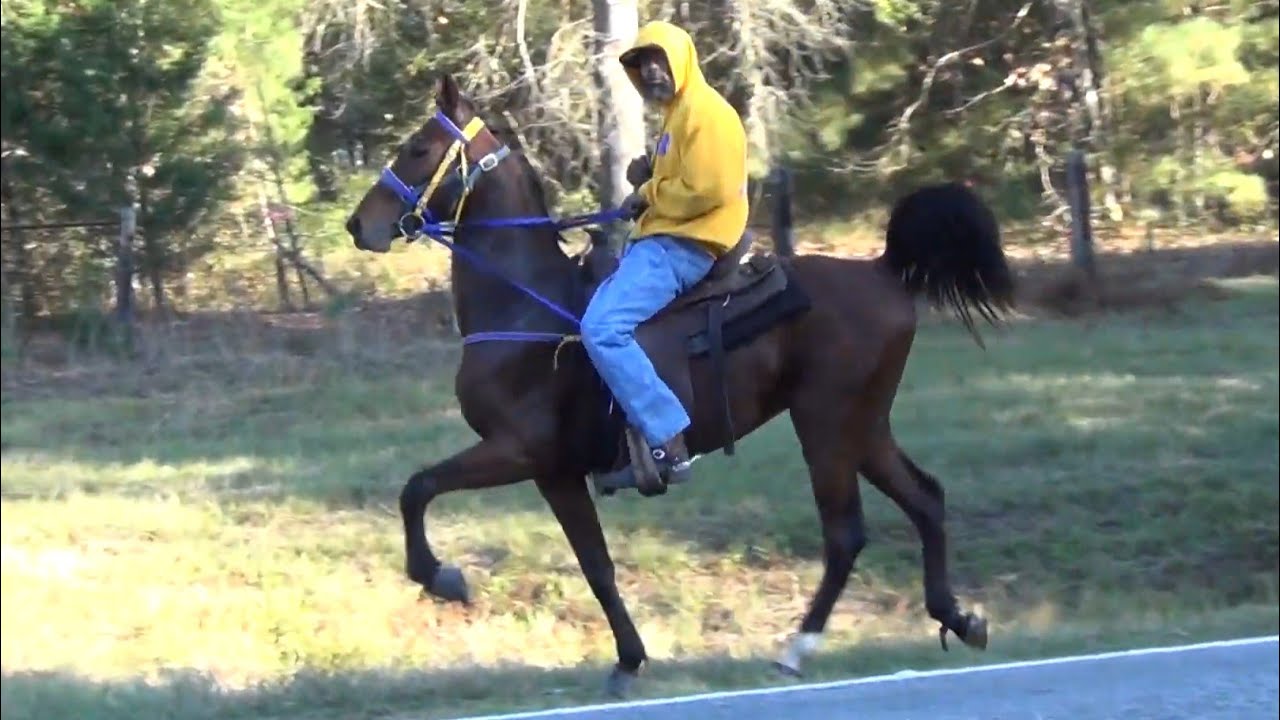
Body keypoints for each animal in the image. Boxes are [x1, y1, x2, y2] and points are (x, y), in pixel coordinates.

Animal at [345, 74, 1016, 697]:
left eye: (418, 148)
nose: (358, 224)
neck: (526, 309)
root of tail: (883, 270)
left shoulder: (520, 453)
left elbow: (418, 488)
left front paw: (442, 577)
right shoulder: (556, 473)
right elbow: (597, 566)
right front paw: (628, 660)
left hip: (825, 425)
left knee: (846, 534)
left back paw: (796, 650)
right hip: (864, 426)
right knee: (925, 498)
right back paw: (959, 618)